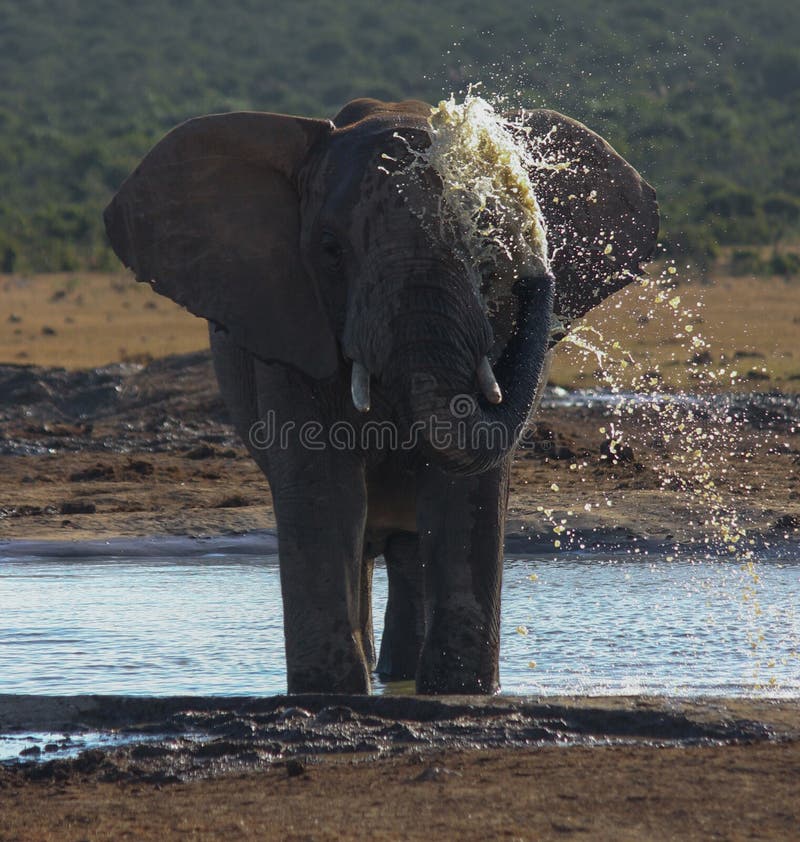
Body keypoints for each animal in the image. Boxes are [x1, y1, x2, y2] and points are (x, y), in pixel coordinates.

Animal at [104, 96, 658, 695]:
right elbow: (322, 484)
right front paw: (328, 693)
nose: (530, 244)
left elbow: (469, 491)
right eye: (329, 249)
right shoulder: (287, 323)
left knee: (411, 547)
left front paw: (459, 692)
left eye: (487, 241)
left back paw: (402, 676)